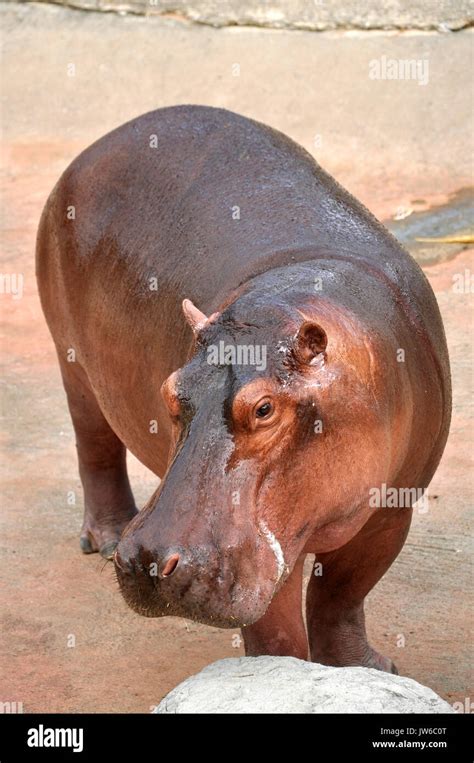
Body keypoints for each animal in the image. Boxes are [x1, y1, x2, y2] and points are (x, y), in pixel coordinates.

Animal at [36, 105, 451, 670]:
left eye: (264, 409)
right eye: (171, 390)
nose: (145, 559)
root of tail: (105, 141)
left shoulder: (390, 513)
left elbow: (342, 596)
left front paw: (366, 669)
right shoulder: (268, 550)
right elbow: (277, 630)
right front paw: (279, 674)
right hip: (73, 363)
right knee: (94, 444)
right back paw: (103, 538)